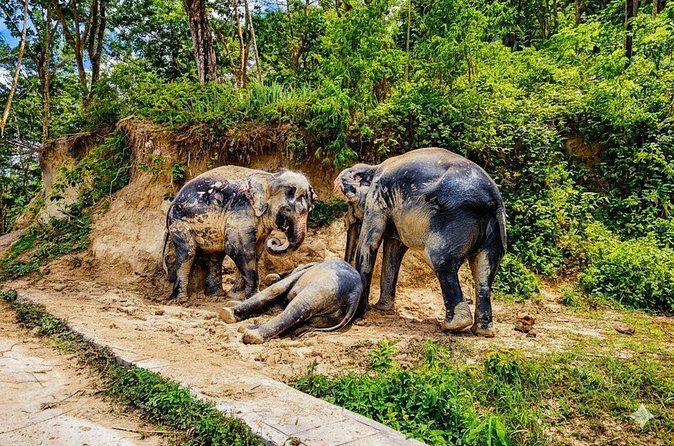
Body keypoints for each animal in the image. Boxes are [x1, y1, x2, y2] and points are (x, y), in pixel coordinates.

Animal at [162, 166, 316, 300]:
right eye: (287, 209)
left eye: (309, 209)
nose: (275, 241)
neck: (270, 177)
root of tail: (171, 204)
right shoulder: (241, 212)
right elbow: (238, 249)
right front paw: (252, 296)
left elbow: (255, 252)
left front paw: (236, 296)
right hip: (179, 223)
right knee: (188, 252)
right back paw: (180, 300)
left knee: (215, 255)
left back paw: (215, 295)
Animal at [218, 259, 363, 344]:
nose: (274, 275)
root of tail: (354, 295)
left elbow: (275, 290)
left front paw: (227, 311)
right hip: (332, 315)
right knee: (303, 322)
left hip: (323, 288)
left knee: (298, 309)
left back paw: (251, 335)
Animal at [334, 147, 507, 337]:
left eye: (350, 204)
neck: (373, 167)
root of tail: (494, 199)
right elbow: (394, 249)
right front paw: (382, 309)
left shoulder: (377, 198)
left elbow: (370, 243)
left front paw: (359, 315)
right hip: (494, 232)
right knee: (484, 273)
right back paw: (482, 331)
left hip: (454, 220)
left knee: (440, 261)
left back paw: (452, 326)